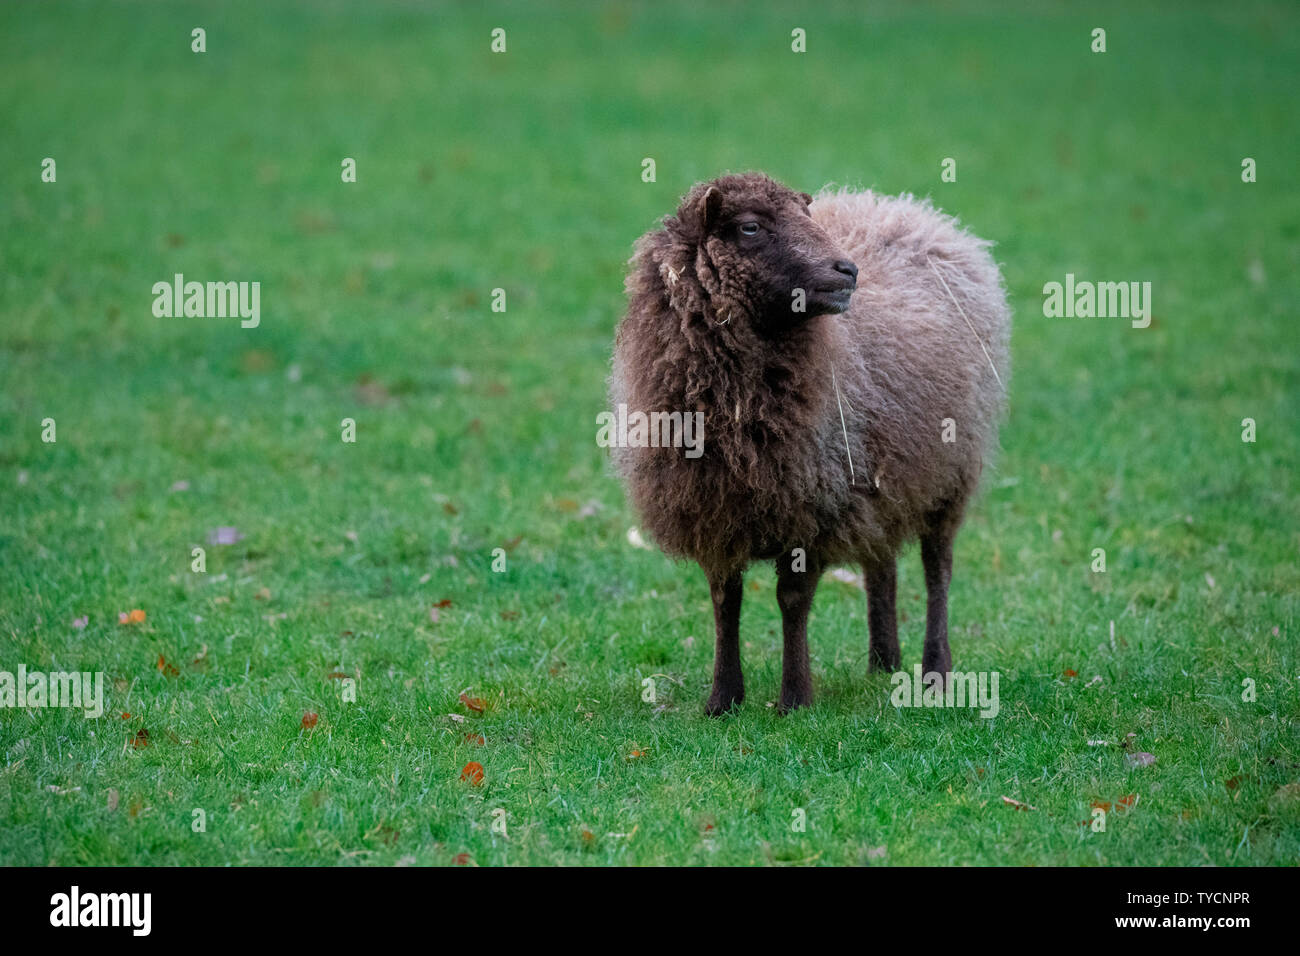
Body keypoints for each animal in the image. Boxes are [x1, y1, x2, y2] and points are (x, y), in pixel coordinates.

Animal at [609, 172, 1010, 714]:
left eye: (806, 216)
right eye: (750, 227)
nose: (848, 270)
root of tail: (908, 209)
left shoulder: (812, 504)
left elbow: (793, 600)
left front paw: (795, 698)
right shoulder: (713, 507)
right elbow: (724, 600)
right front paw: (723, 700)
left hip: (949, 473)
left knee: (937, 569)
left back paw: (935, 673)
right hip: (880, 476)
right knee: (880, 565)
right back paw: (883, 662)